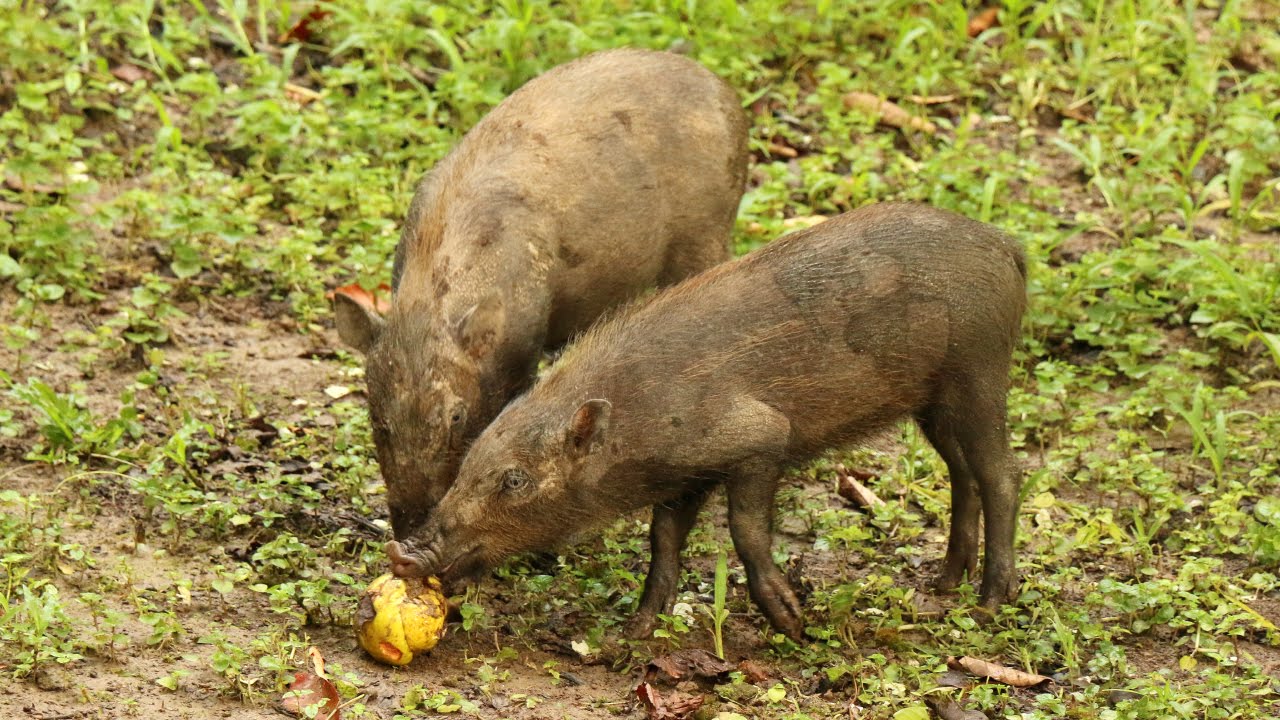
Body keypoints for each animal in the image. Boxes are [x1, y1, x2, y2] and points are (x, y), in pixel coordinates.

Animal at [334, 49, 748, 539]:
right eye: (378, 420)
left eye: (455, 416)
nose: (410, 527)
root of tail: (729, 95)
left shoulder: (524, 350)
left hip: (707, 234)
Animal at [386, 203, 1028, 639]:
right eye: (469, 463)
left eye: (515, 480)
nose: (403, 553)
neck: (638, 420)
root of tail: (1003, 244)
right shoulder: (684, 475)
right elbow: (663, 538)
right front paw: (636, 632)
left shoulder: (759, 438)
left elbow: (744, 528)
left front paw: (792, 623)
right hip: (936, 403)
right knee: (962, 474)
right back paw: (943, 584)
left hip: (979, 374)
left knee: (1003, 475)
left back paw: (989, 603)